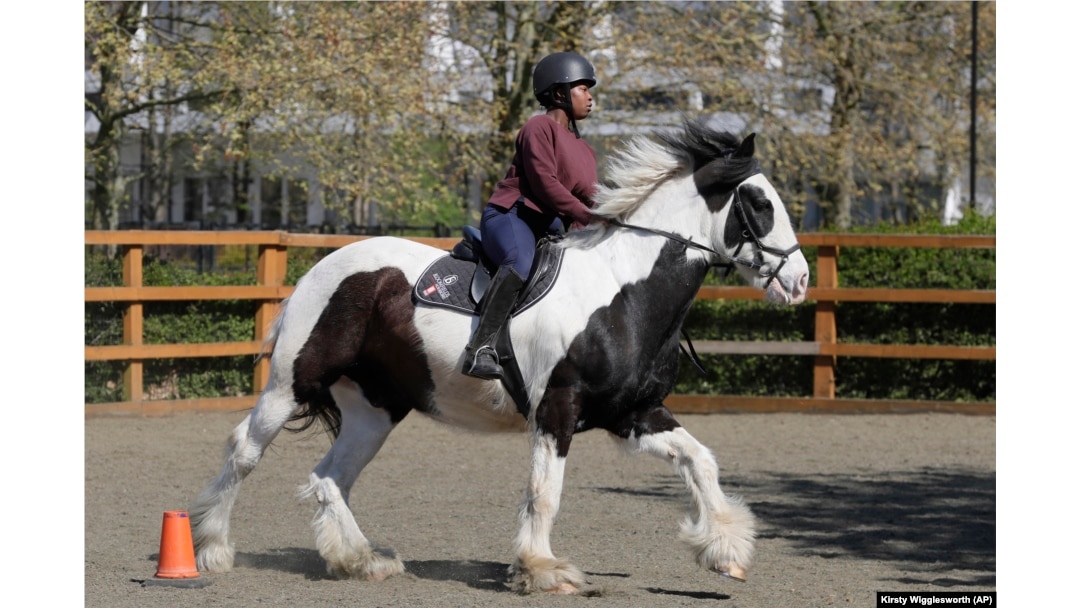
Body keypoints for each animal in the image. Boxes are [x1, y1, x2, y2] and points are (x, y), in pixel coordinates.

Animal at [189, 119, 810, 594]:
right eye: (759, 203)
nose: (800, 280)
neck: (624, 292)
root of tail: (323, 266)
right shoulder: (557, 410)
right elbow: (544, 495)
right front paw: (542, 569)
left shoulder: (633, 414)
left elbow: (700, 461)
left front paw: (725, 548)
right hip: (290, 384)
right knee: (244, 451)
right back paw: (212, 548)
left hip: (376, 409)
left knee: (330, 479)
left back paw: (361, 559)